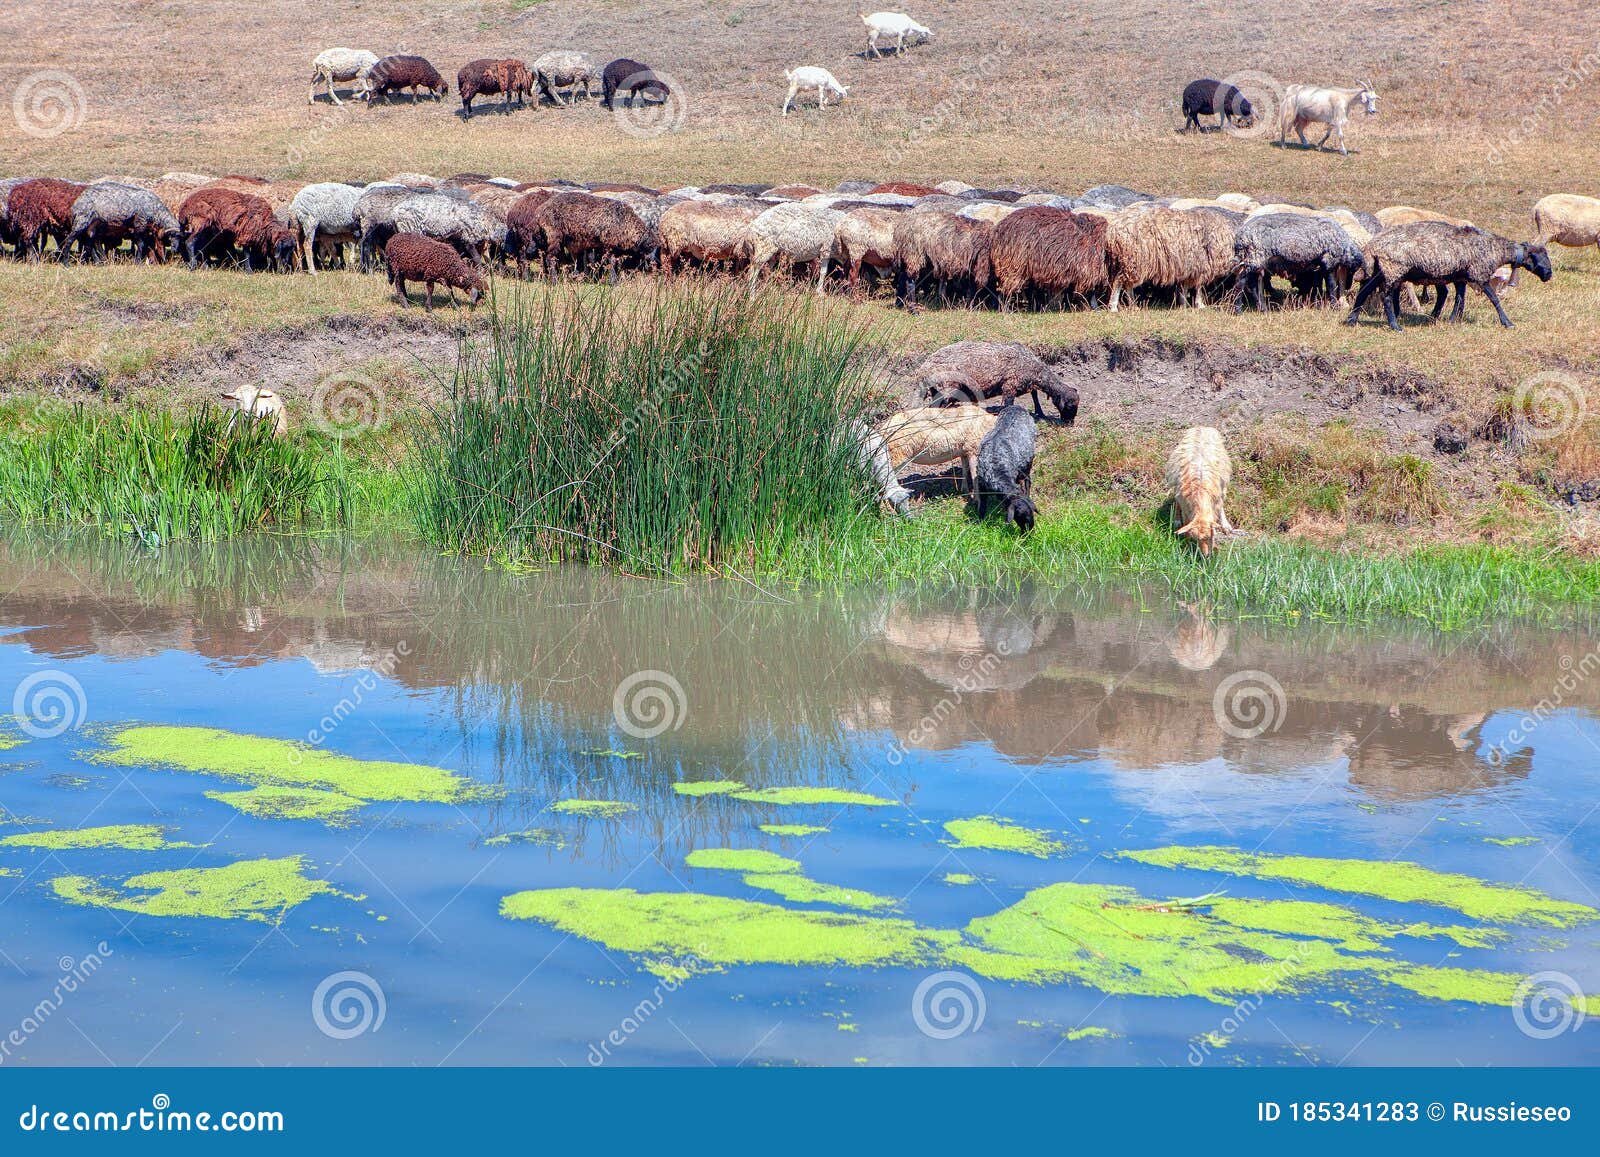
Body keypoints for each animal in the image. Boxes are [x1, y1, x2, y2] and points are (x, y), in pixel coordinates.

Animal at [912, 340, 1079, 423]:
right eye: (1070, 406)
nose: (1070, 422)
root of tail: (922, 372)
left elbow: (1034, 394)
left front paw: (1040, 412)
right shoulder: (1010, 385)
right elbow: (1008, 404)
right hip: (948, 385)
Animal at [1104, 203, 1238, 310]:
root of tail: (1113, 230)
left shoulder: (1189, 267)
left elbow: (1185, 287)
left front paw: (1183, 304)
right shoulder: (1201, 266)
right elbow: (1199, 287)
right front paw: (1199, 305)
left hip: (1131, 262)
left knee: (1127, 284)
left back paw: (1133, 306)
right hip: (1134, 259)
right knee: (1119, 282)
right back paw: (1113, 307)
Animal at [1165, 426, 1234, 557]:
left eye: (1210, 536)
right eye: (1196, 539)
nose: (1206, 555)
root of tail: (1202, 427)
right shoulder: (1187, 508)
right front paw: (1187, 547)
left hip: (1223, 483)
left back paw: (1225, 525)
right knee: (1176, 501)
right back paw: (1176, 520)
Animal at [1231, 212, 1363, 311]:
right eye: (1351, 271)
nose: (1348, 286)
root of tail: (1240, 238)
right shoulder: (1328, 260)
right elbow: (1331, 285)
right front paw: (1334, 306)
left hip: (1256, 261)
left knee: (1253, 285)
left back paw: (1263, 309)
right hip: (1254, 257)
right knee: (1240, 282)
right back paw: (1238, 310)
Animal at [1344, 222, 1552, 330]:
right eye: (1540, 256)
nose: (1549, 274)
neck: (1497, 250)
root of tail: (1373, 246)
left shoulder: (1461, 276)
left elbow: (1459, 299)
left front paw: (1452, 320)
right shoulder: (1479, 273)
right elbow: (1493, 299)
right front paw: (1507, 323)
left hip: (1380, 270)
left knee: (1364, 290)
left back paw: (1351, 320)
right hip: (1394, 268)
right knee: (1385, 296)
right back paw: (1395, 326)